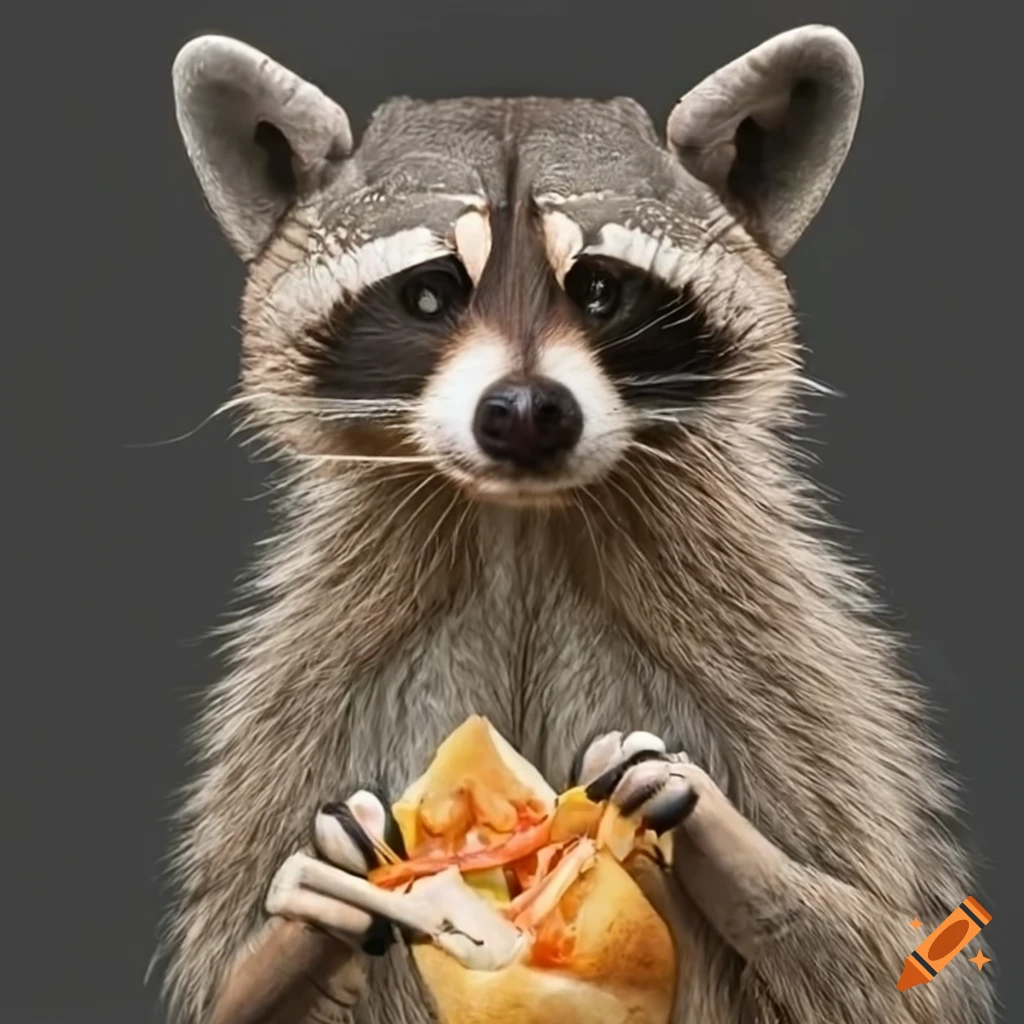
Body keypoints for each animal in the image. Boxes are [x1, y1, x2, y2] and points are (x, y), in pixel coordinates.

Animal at [158, 24, 997, 1024]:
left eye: (599, 289)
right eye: (431, 294)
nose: (525, 411)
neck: (524, 526)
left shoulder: (791, 675)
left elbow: (885, 962)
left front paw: (702, 815)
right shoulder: (304, 689)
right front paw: (304, 922)